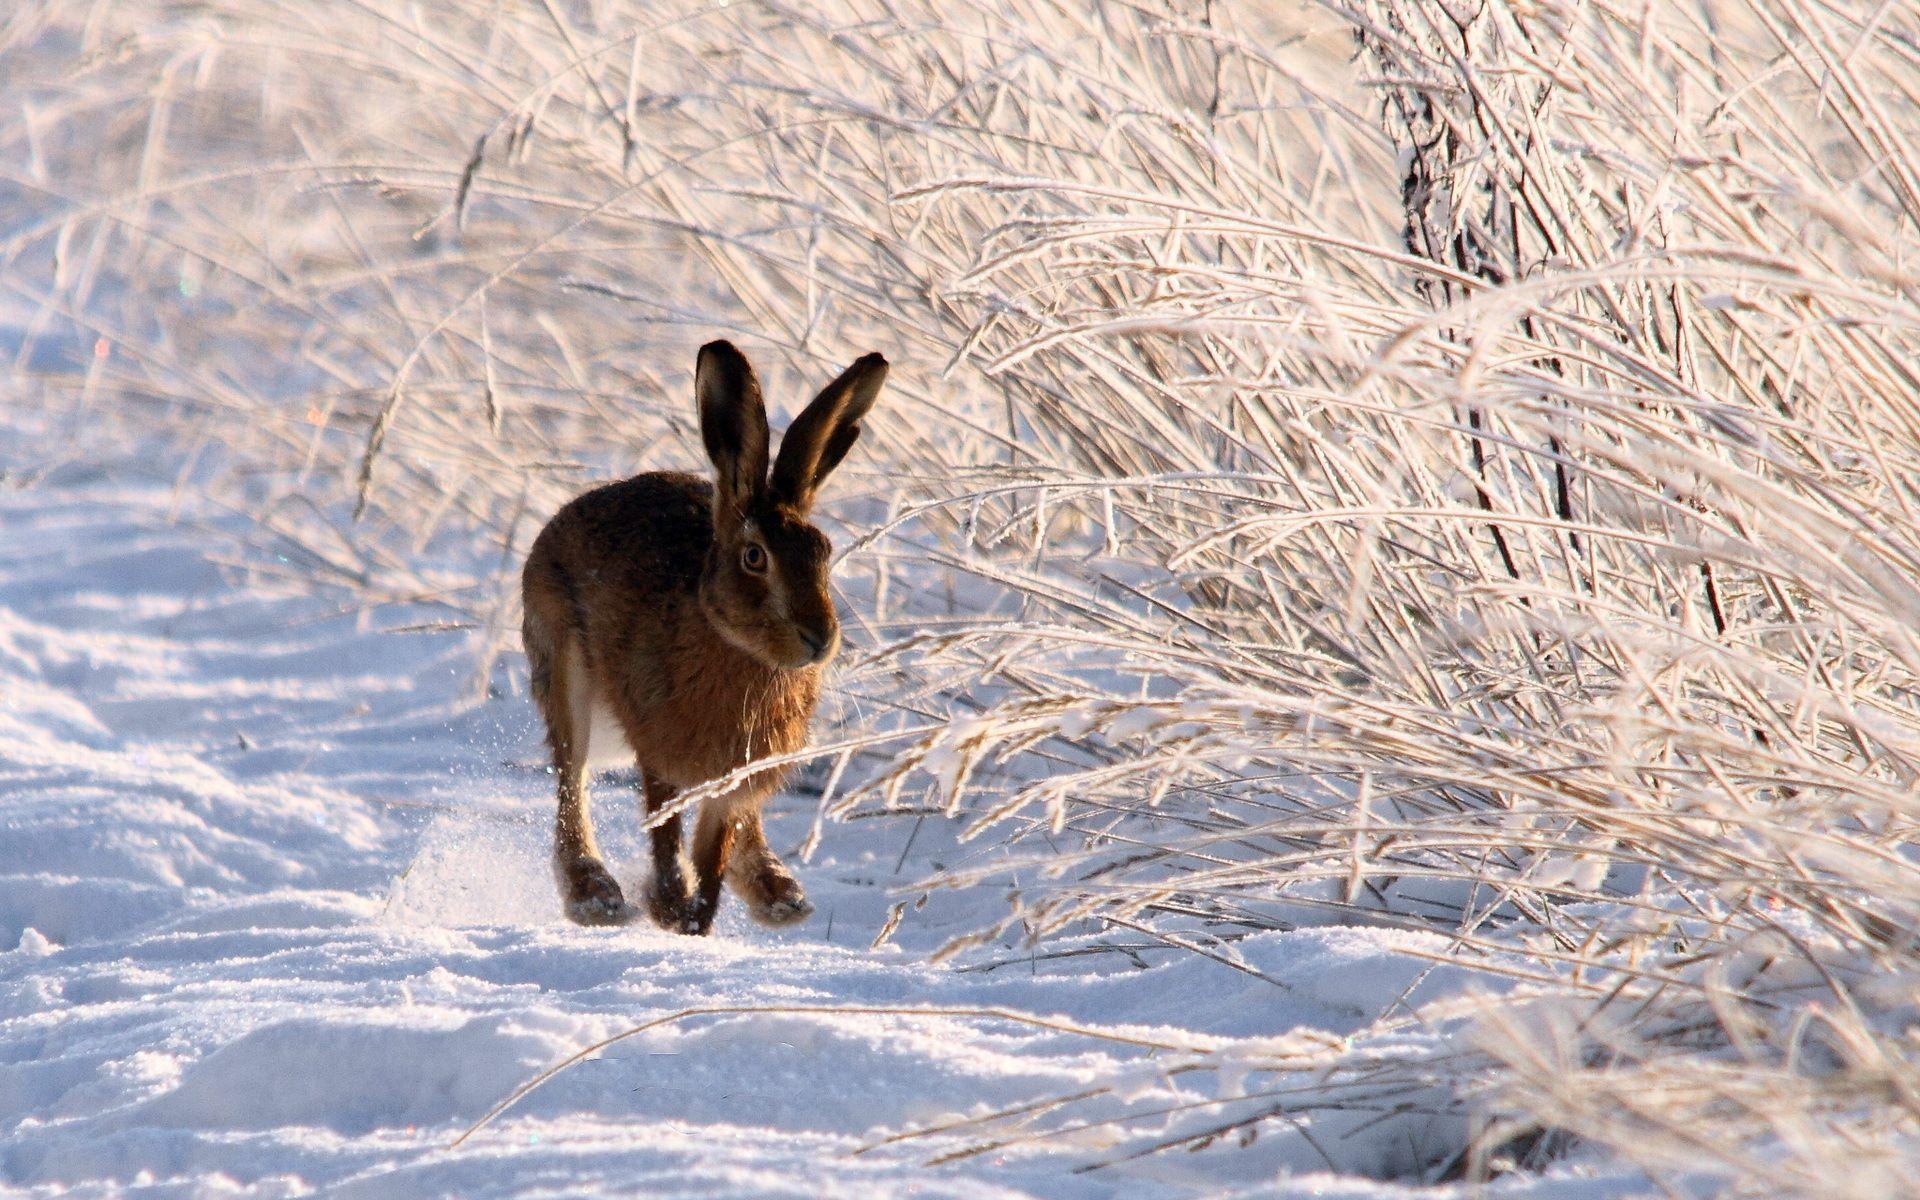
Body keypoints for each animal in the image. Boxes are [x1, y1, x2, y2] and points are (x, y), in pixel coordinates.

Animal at [520, 340, 888, 934]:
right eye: (754, 557)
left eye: (825, 553)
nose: (820, 638)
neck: (737, 648)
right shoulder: (658, 750)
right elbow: (665, 832)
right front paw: (670, 908)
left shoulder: (732, 780)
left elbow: (713, 851)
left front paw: (695, 922)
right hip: (563, 669)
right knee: (570, 782)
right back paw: (595, 896)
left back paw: (779, 895)